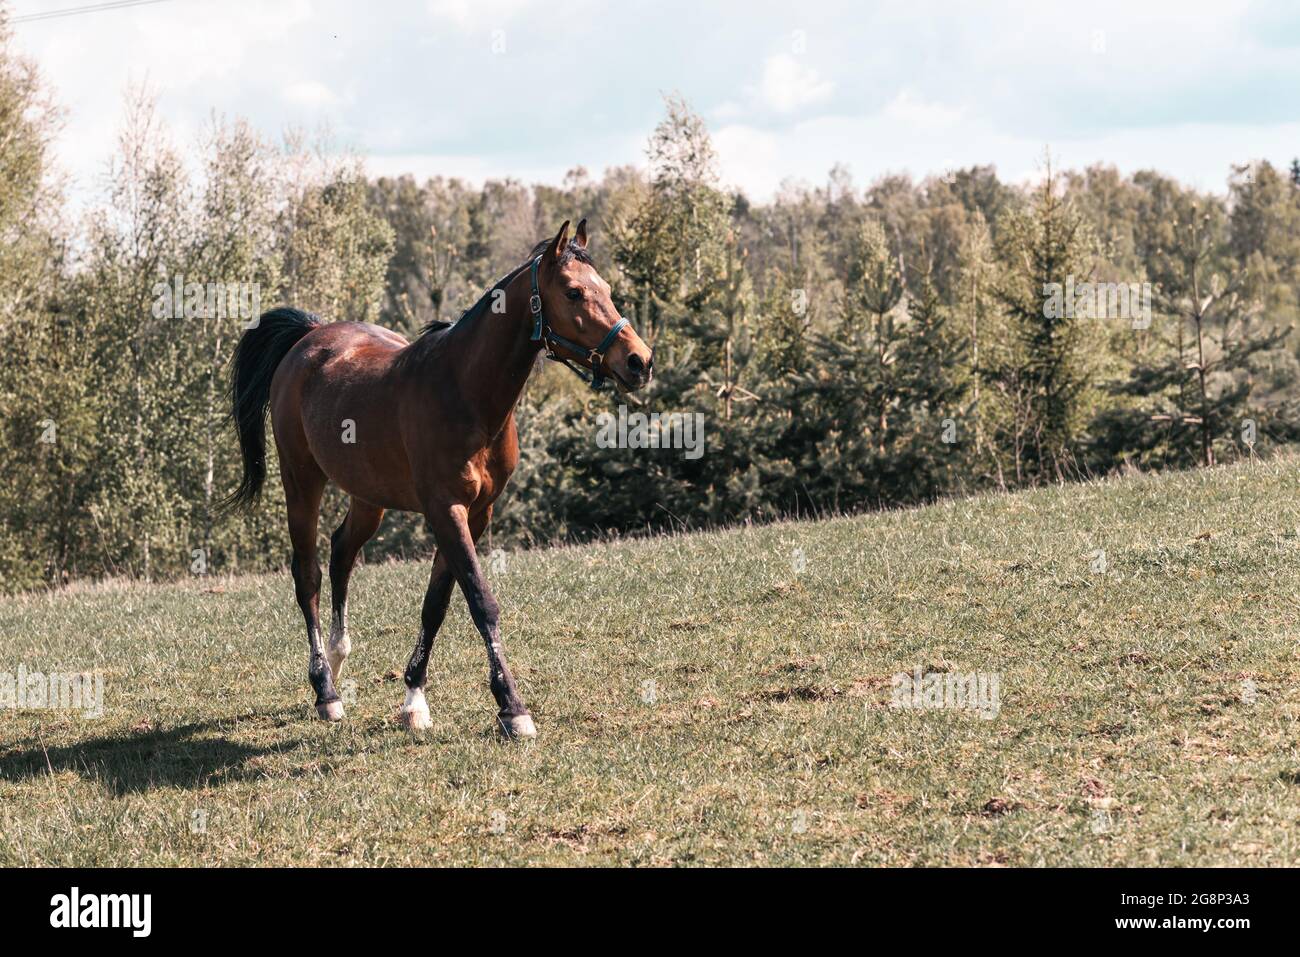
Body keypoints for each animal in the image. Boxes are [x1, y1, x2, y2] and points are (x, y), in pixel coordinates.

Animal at [226, 219, 653, 737]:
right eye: (573, 292)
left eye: (605, 289)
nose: (639, 360)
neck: (464, 390)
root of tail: (308, 338)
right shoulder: (445, 510)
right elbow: (481, 601)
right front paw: (512, 707)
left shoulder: (476, 513)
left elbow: (437, 603)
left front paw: (414, 699)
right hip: (301, 480)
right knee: (307, 574)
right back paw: (325, 689)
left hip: (368, 497)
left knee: (342, 551)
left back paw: (339, 655)